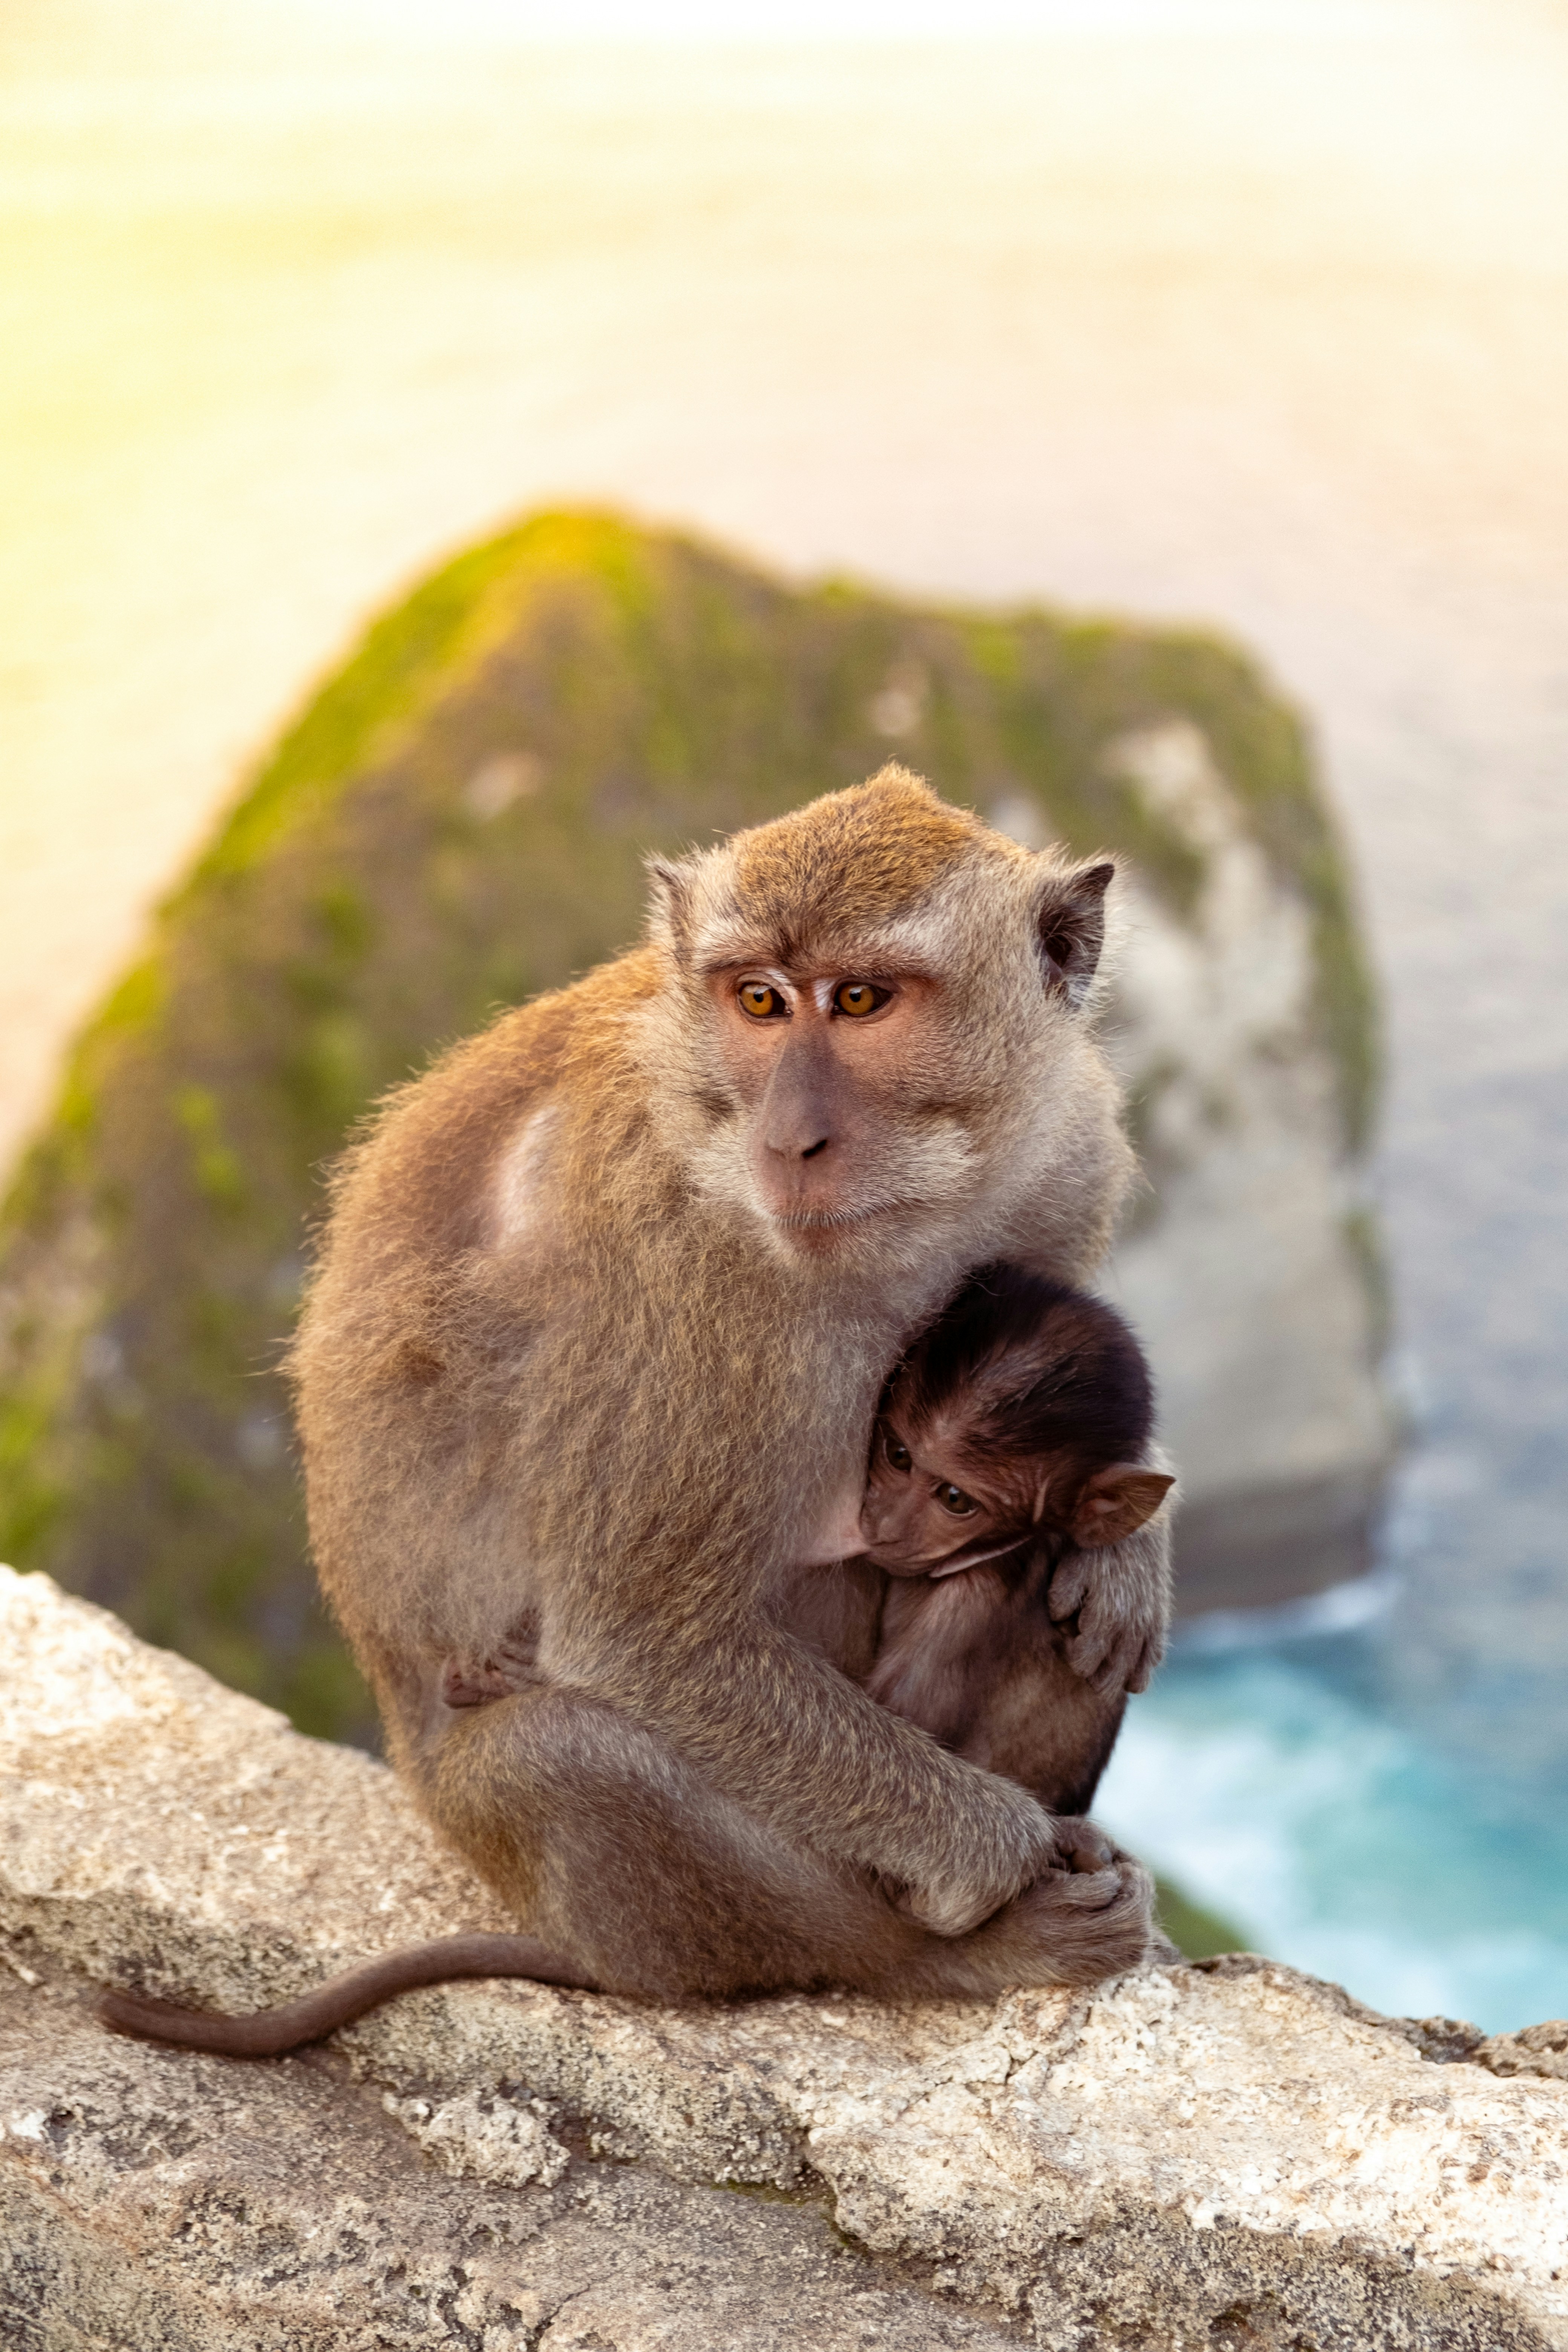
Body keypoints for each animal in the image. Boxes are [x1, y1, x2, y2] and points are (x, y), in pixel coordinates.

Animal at [99, 769, 1174, 2056]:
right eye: (759, 1000)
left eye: (861, 999)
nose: (791, 1138)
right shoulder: (695, 1275)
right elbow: (640, 1630)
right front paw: (1002, 1851)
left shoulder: (1064, 1158)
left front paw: (1136, 1555)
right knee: (560, 1758)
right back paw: (945, 1954)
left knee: (1048, 1582)